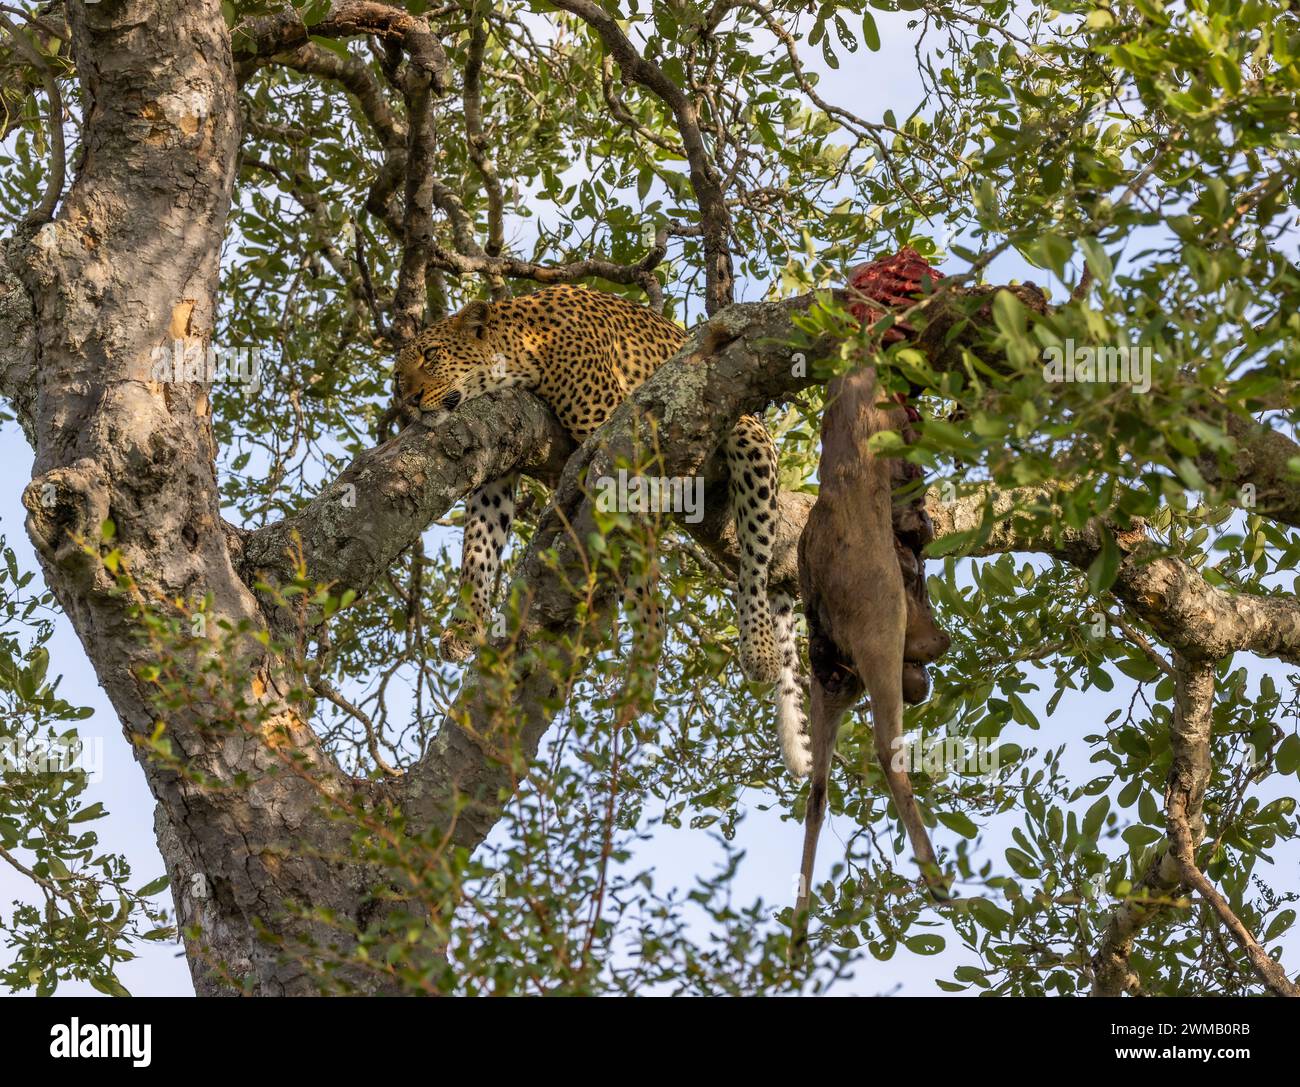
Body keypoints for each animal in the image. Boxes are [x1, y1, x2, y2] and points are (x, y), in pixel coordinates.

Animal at [394, 284, 812, 776]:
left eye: (431, 355)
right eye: (398, 377)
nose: (409, 401)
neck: (520, 353)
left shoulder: (625, 443)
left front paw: (646, 644)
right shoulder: (497, 471)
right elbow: (479, 548)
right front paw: (464, 626)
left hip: (750, 439)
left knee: (754, 563)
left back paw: (757, 649)